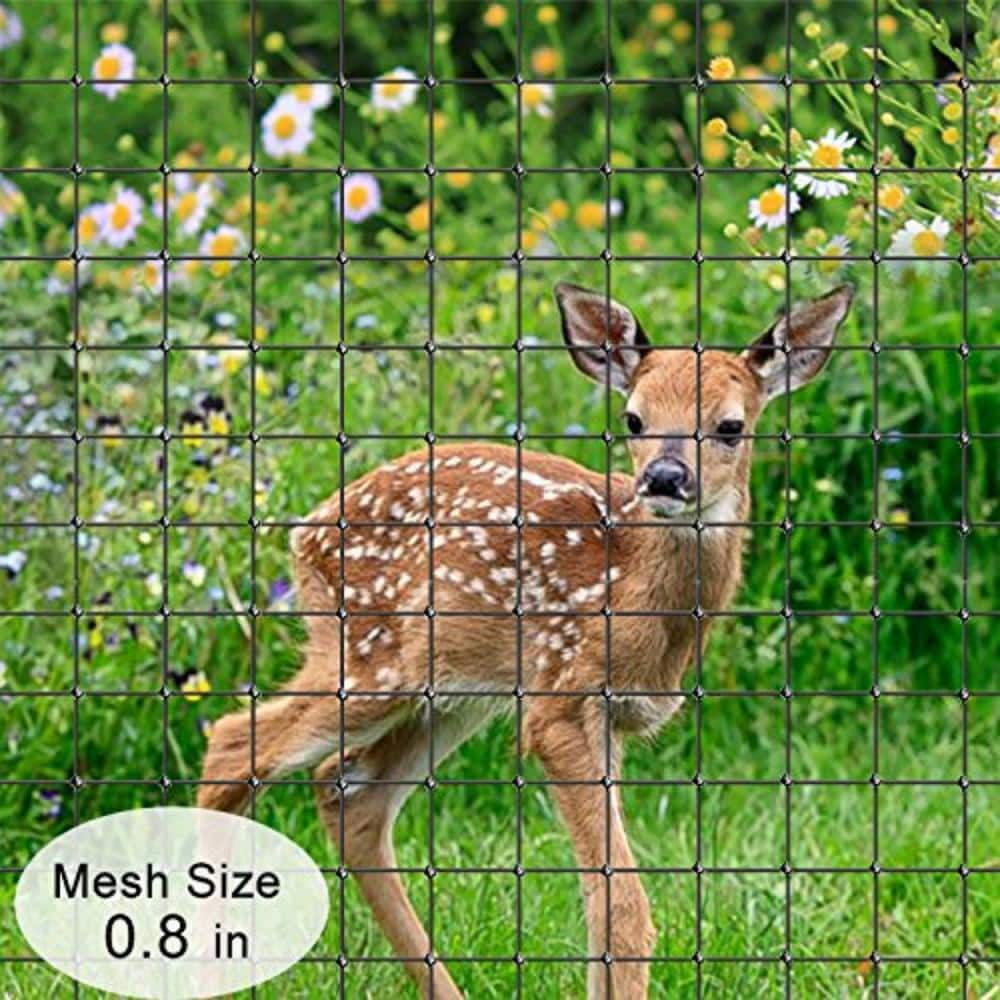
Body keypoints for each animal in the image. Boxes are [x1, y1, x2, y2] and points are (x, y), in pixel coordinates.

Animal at [197, 281, 853, 998]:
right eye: (633, 420)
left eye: (730, 426)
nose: (663, 478)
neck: (632, 592)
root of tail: (304, 530)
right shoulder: (560, 699)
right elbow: (621, 903)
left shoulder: (608, 718)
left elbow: (603, 902)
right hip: (370, 656)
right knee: (234, 740)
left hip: (452, 691)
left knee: (350, 795)